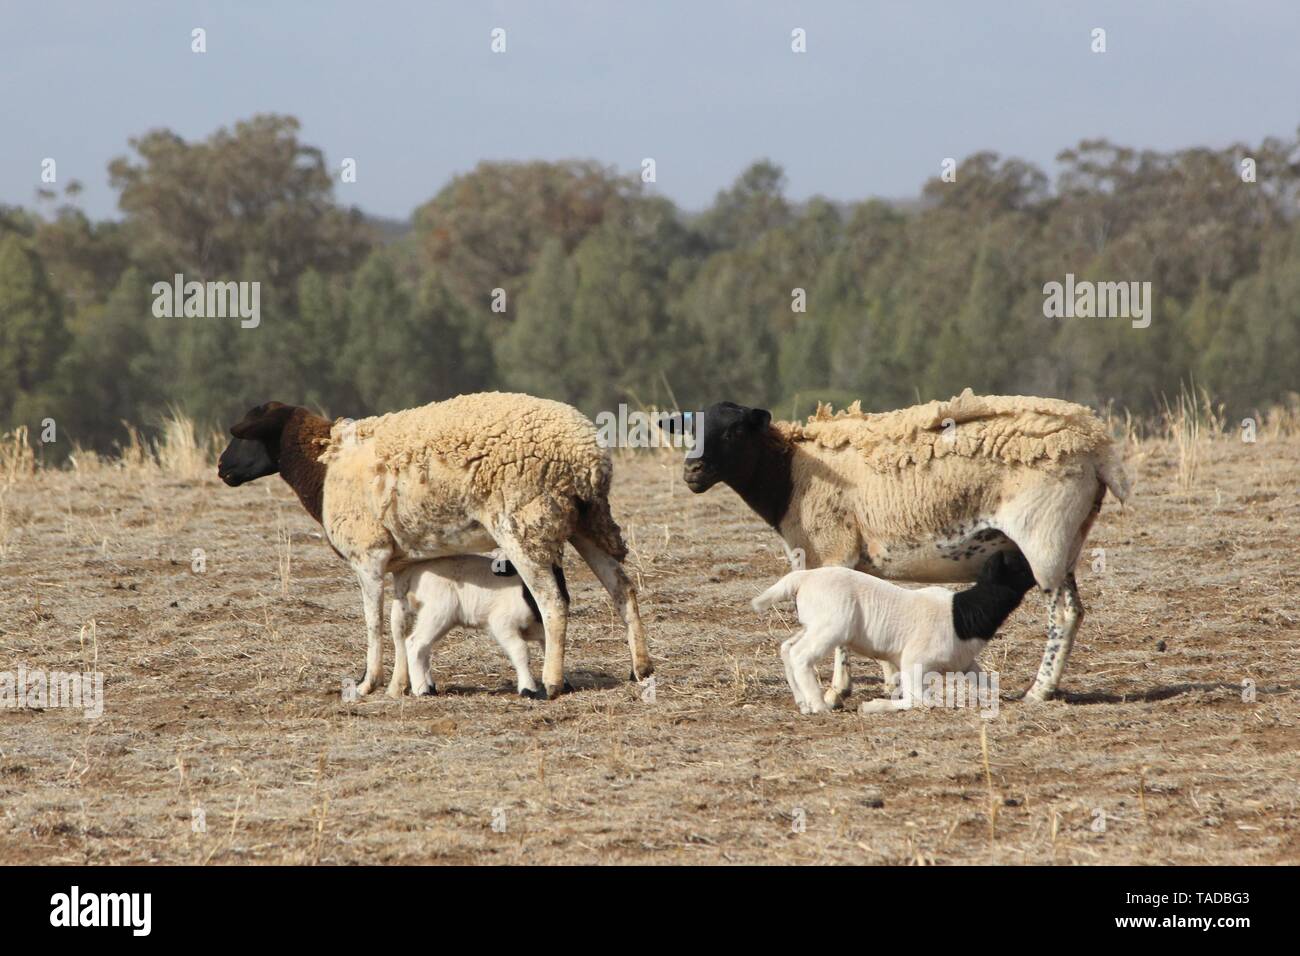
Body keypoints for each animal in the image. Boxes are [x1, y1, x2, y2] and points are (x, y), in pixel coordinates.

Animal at [389, 555, 563, 699]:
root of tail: (413, 572)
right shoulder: (502, 623)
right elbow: (520, 650)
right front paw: (528, 688)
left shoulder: (538, 628)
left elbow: (551, 647)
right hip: (438, 612)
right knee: (415, 643)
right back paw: (421, 689)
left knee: (424, 646)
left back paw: (430, 687)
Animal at [752, 550, 1038, 714]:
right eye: (1020, 565)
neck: (964, 613)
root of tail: (803, 578)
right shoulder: (913, 662)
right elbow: (918, 701)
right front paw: (873, 706)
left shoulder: (966, 663)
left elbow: (988, 684)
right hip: (830, 628)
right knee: (800, 655)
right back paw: (819, 705)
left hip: (814, 625)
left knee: (787, 648)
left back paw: (803, 702)